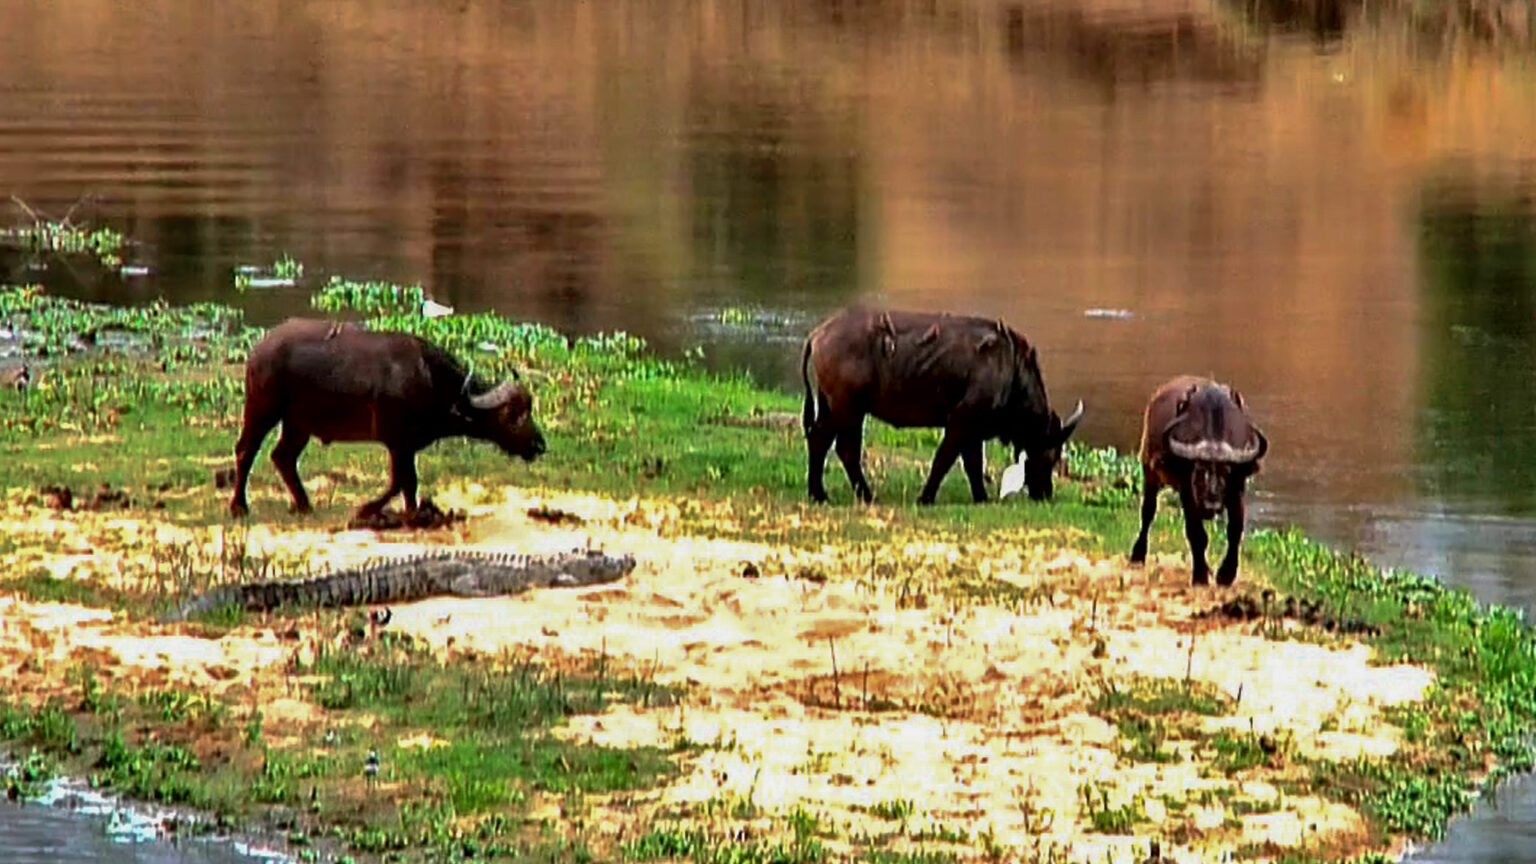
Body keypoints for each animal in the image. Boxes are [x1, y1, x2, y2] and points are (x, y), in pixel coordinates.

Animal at [228, 318, 546, 520]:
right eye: (513, 414)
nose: (540, 445)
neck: (432, 380)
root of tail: (258, 350)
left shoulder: (406, 446)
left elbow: (409, 483)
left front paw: (414, 512)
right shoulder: (397, 442)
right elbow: (399, 481)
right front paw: (367, 509)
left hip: (298, 424)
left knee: (283, 457)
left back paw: (304, 504)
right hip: (262, 410)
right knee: (246, 451)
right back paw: (239, 507)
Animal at [800, 306, 1084, 505]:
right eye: (1050, 455)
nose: (1045, 494)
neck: (1010, 368)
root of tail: (817, 335)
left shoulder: (974, 430)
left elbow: (973, 465)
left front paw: (981, 497)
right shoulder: (961, 421)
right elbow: (945, 459)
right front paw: (925, 497)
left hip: (834, 408)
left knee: (824, 442)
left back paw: (825, 494)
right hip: (848, 409)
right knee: (841, 447)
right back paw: (856, 495)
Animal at [1128, 375, 1268, 586]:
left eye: (1227, 473)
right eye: (1198, 471)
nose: (1211, 505)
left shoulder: (1238, 488)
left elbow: (1235, 530)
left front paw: (1226, 574)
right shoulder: (1187, 490)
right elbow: (1197, 533)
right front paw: (1200, 575)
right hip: (1149, 472)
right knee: (1148, 512)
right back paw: (1138, 555)